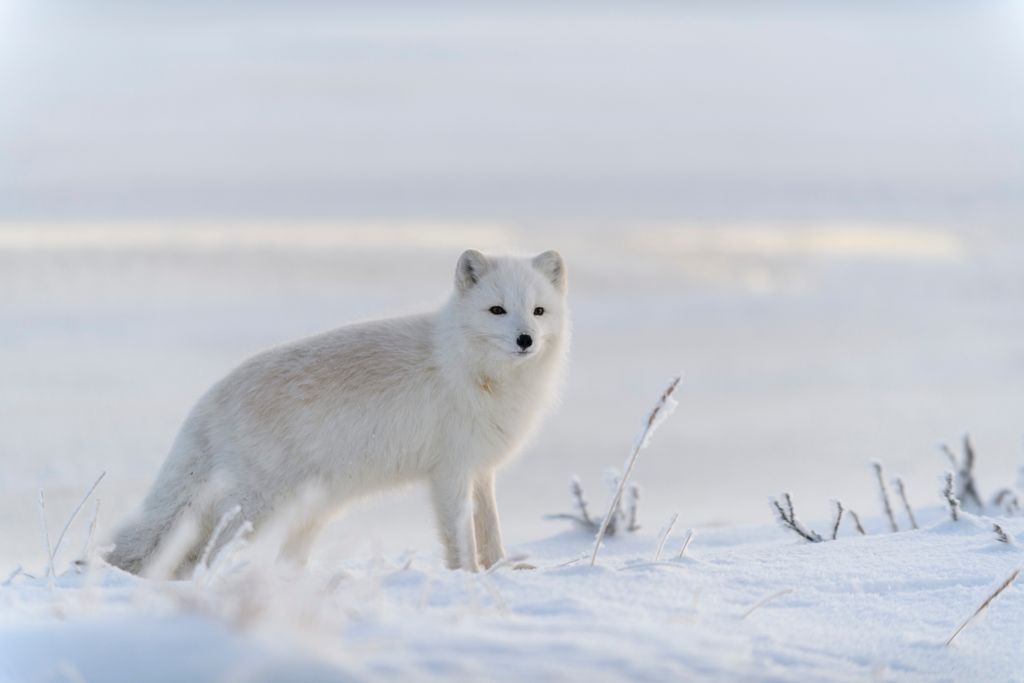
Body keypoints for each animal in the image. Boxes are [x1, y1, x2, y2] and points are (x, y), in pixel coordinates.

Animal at [105, 249, 568, 575]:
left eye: (538, 311)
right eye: (497, 310)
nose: (526, 339)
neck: (472, 369)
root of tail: (209, 400)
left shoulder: (481, 468)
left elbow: (491, 530)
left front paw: (504, 570)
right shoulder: (450, 471)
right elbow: (461, 537)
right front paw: (468, 577)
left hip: (309, 510)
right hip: (257, 508)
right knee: (213, 552)